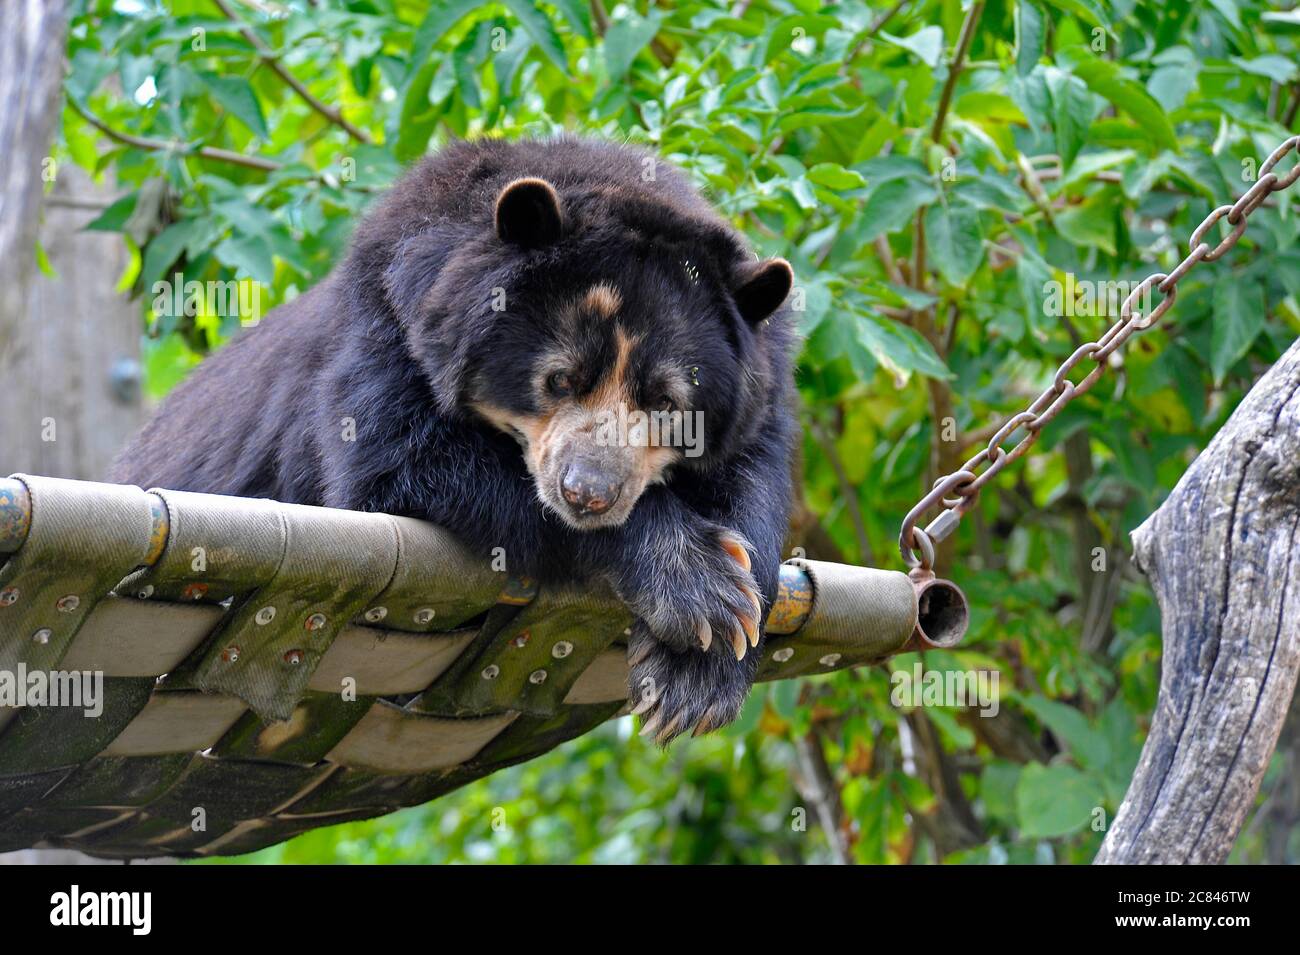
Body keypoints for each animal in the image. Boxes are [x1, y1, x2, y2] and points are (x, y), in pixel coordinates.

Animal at [111, 137, 798, 745]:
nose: (588, 494)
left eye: (665, 403)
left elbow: (751, 478)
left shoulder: (762, 386)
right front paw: (700, 587)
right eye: (559, 378)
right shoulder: (390, 316)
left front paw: (700, 675)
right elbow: (397, 458)